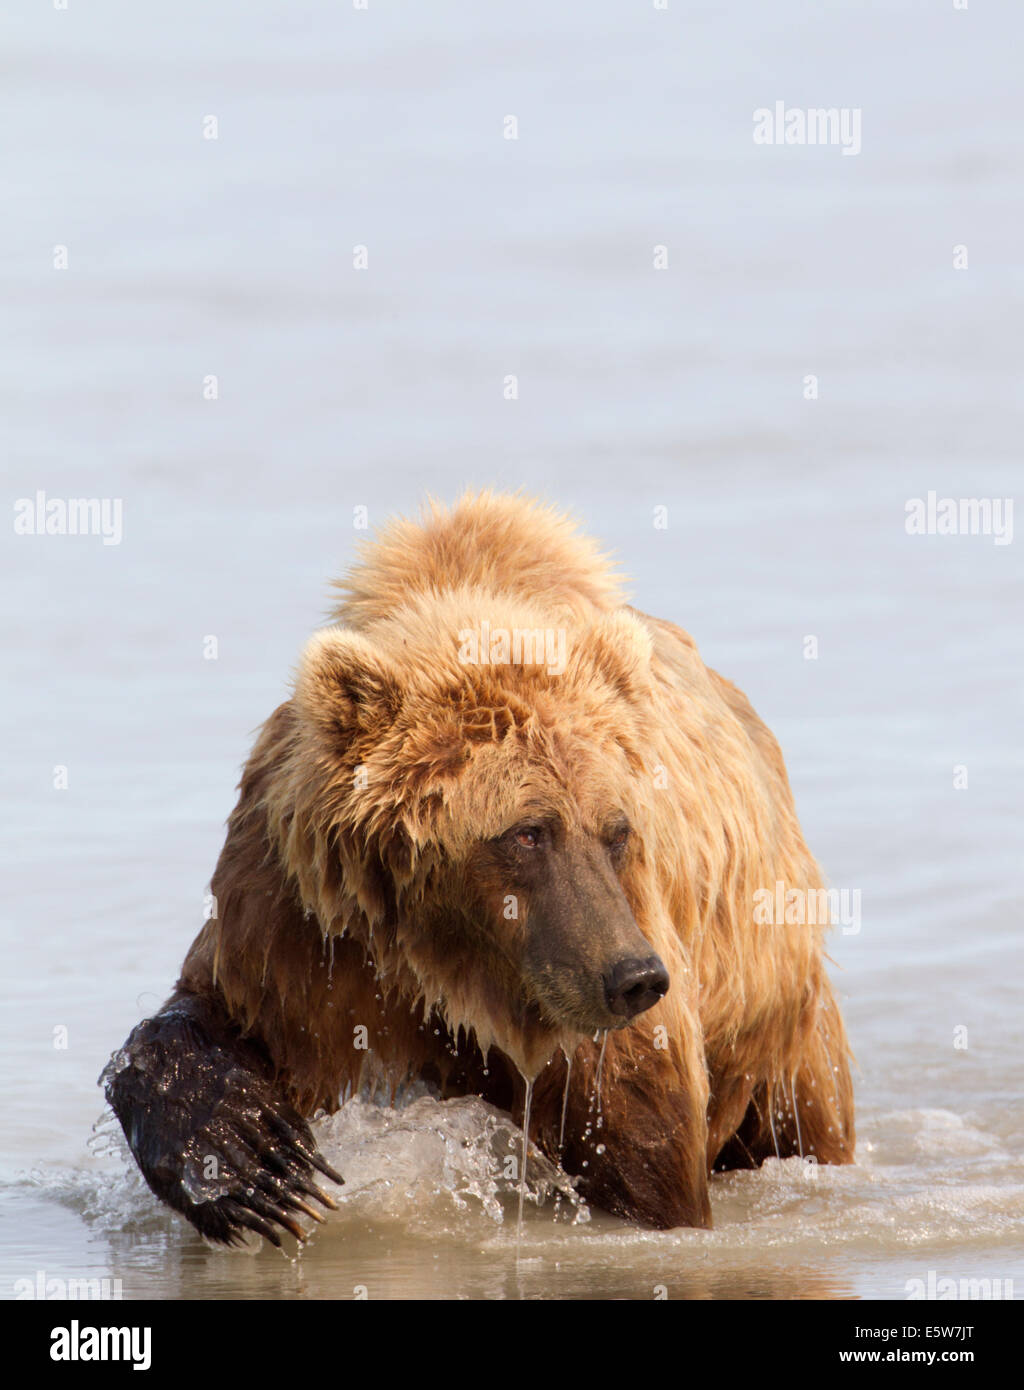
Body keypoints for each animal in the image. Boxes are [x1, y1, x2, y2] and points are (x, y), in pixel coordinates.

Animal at [103, 491, 854, 1245]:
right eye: (529, 832)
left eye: (616, 830)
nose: (635, 977)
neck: (449, 948)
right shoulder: (307, 915)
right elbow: (222, 1012)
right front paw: (248, 1156)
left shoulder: (596, 969)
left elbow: (646, 1147)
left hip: (779, 1016)